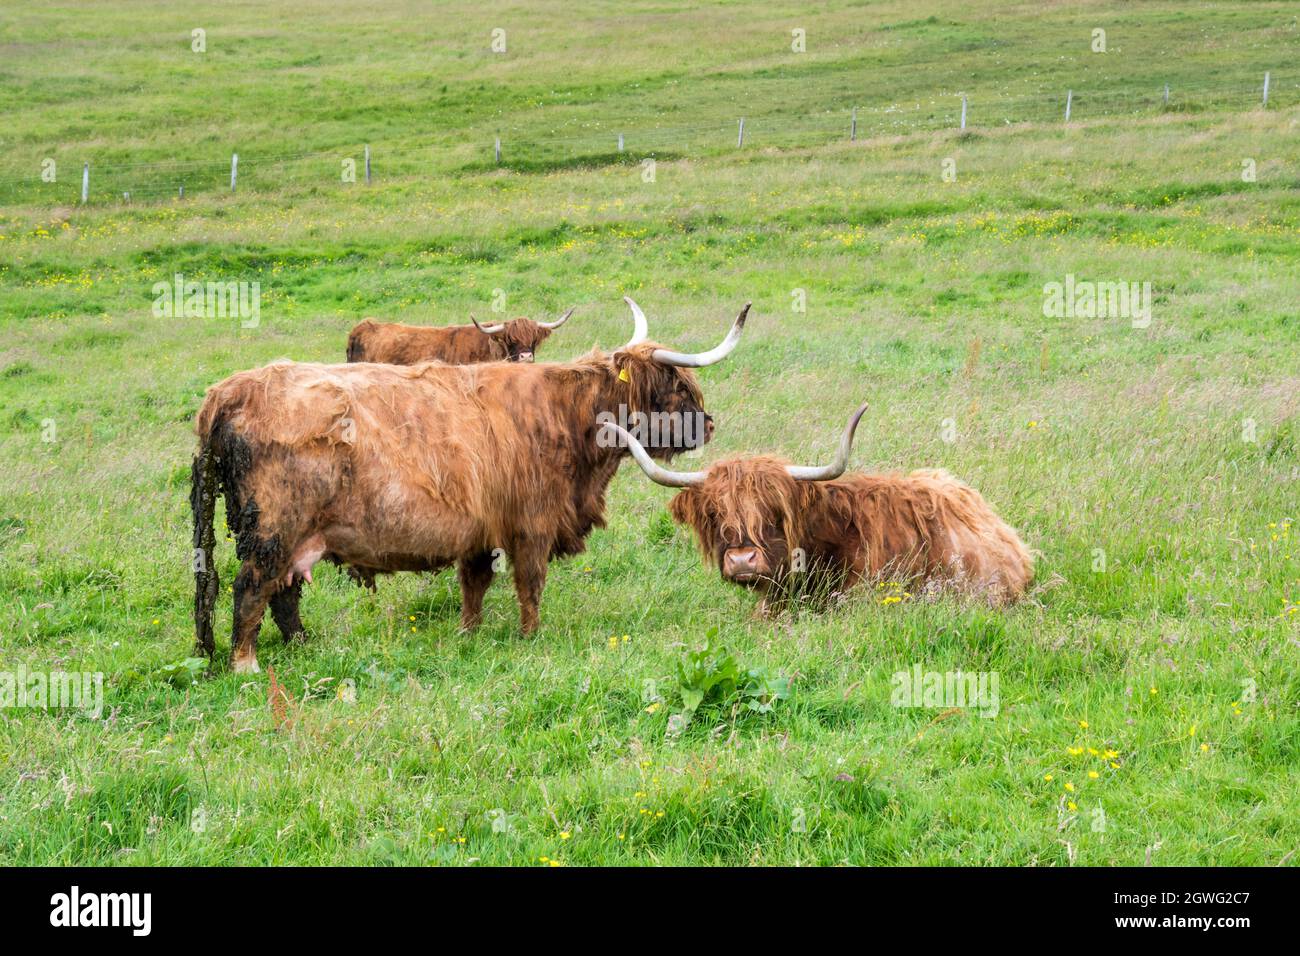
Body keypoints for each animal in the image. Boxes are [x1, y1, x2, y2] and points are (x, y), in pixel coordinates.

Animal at [192, 298, 750, 672]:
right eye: (676, 384)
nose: (708, 424)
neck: (566, 417)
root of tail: (227, 392)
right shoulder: (531, 525)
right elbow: (530, 586)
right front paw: (531, 637)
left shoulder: (479, 533)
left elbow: (474, 588)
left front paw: (469, 634)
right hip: (273, 532)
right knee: (251, 589)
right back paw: (247, 664)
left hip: (293, 538)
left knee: (284, 597)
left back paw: (304, 648)